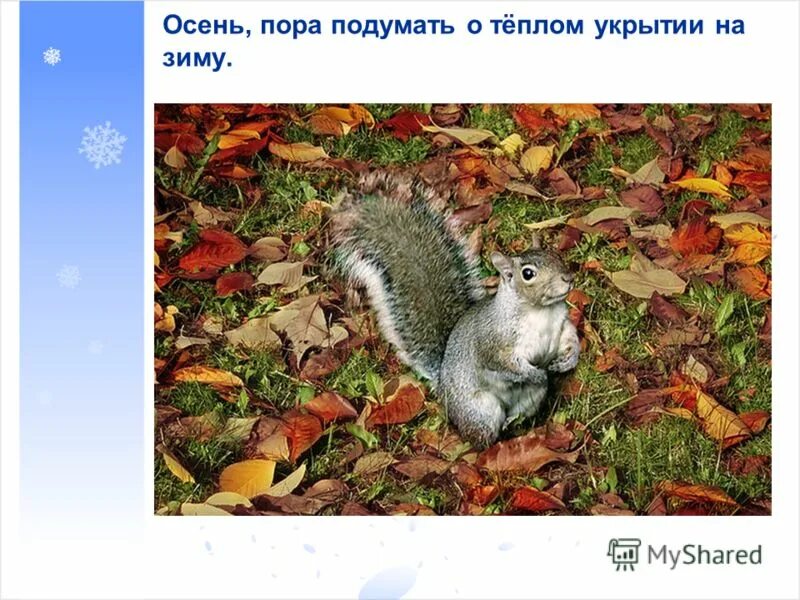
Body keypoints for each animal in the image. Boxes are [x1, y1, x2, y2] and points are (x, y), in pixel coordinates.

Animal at [330, 172, 580, 448]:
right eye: (528, 274)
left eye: (554, 254)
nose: (568, 278)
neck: (540, 312)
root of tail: (443, 389)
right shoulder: (495, 341)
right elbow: (505, 364)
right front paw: (537, 374)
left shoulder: (562, 324)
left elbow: (571, 339)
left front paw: (567, 361)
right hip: (480, 410)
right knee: (481, 436)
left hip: (529, 401)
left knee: (516, 416)